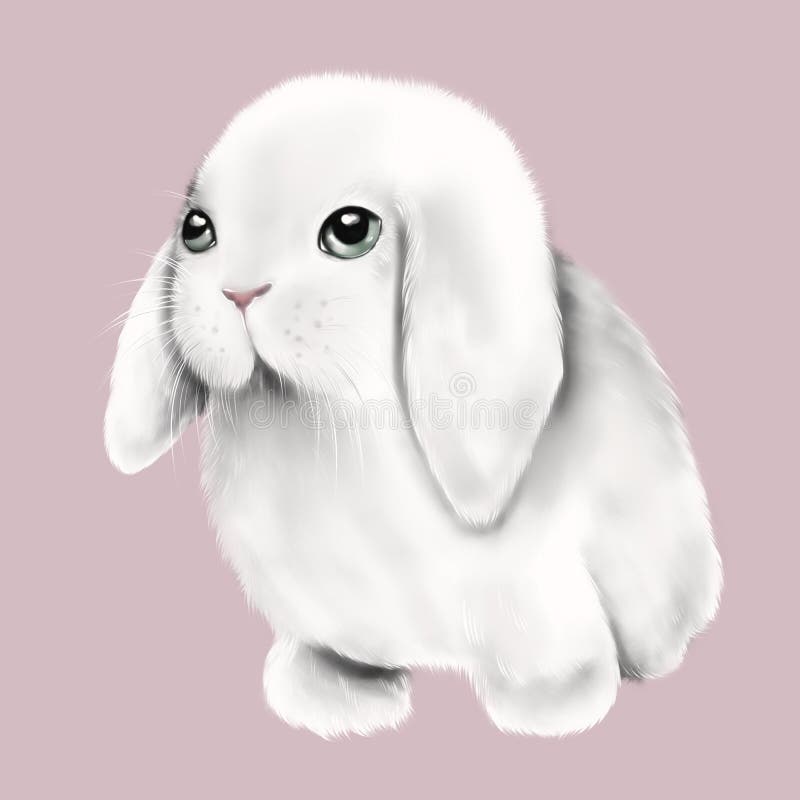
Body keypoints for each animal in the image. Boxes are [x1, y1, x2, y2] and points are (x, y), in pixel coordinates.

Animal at [105, 74, 722, 739]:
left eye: (351, 230)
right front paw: (331, 696)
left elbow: (560, 660)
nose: (237, 292)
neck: (326, 420)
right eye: (196, 229)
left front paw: (549, 707)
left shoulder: (540, 591)